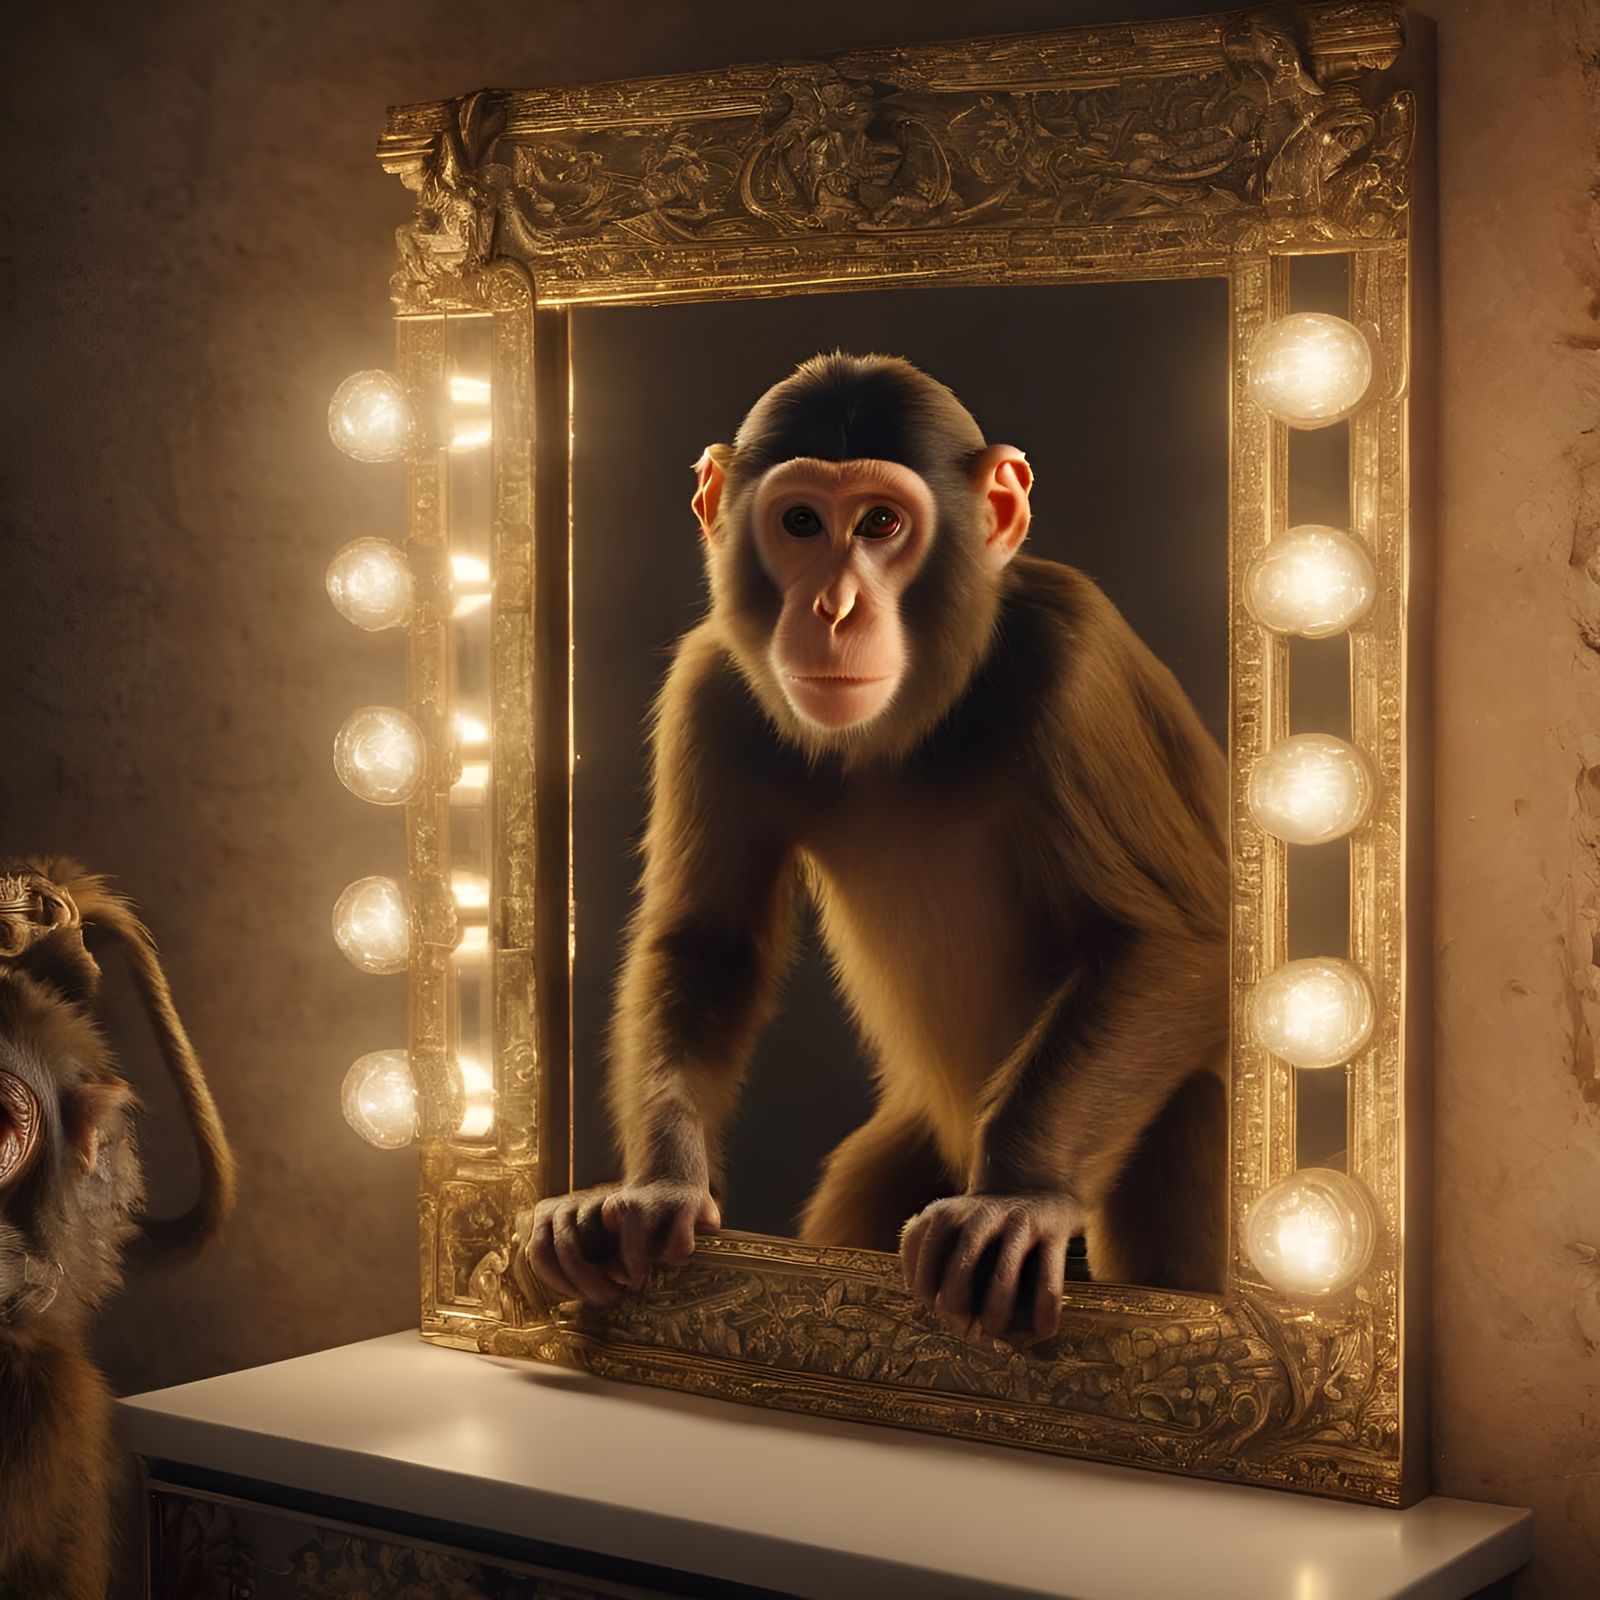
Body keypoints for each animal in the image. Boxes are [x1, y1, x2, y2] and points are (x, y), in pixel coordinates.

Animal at [529, 352, 1227, 1343]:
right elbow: (706, 940)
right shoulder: (713, 683)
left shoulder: (1073, 656)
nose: (834, 606)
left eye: (882, 523)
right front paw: (655, 1183)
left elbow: (1173, 943)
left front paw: (1018, 1192)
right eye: (801, 522)